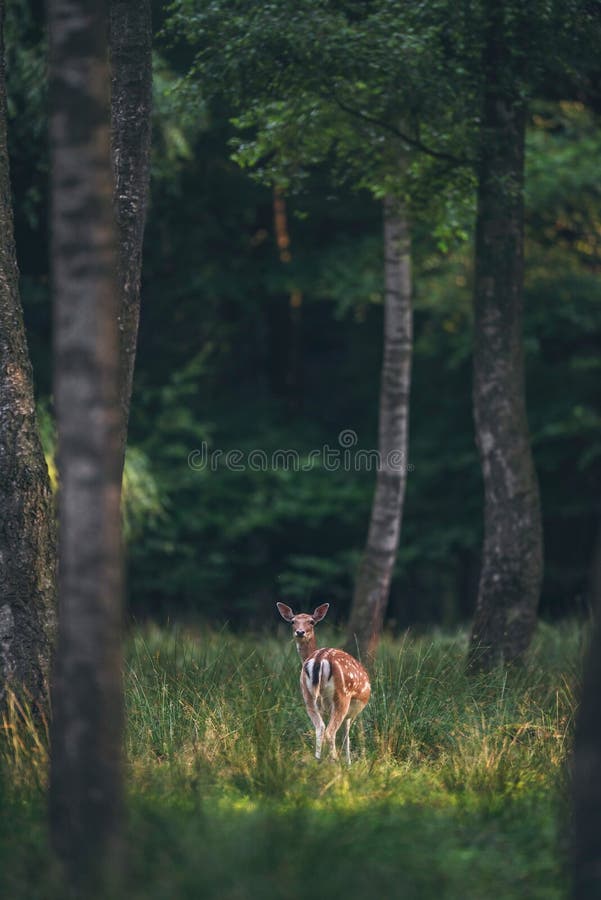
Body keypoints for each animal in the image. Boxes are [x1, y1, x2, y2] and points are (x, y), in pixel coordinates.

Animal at [277, 602, 370, 763]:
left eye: (311, 622)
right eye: (293, 621)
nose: (300, 632)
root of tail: (319, 658)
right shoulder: (352, 711)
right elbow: (347, 734)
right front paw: (349, 762)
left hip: (307, 694)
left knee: (319, 728)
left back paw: (318, 760)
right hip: (342, 696)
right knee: (329, 731)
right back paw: (334, 761)